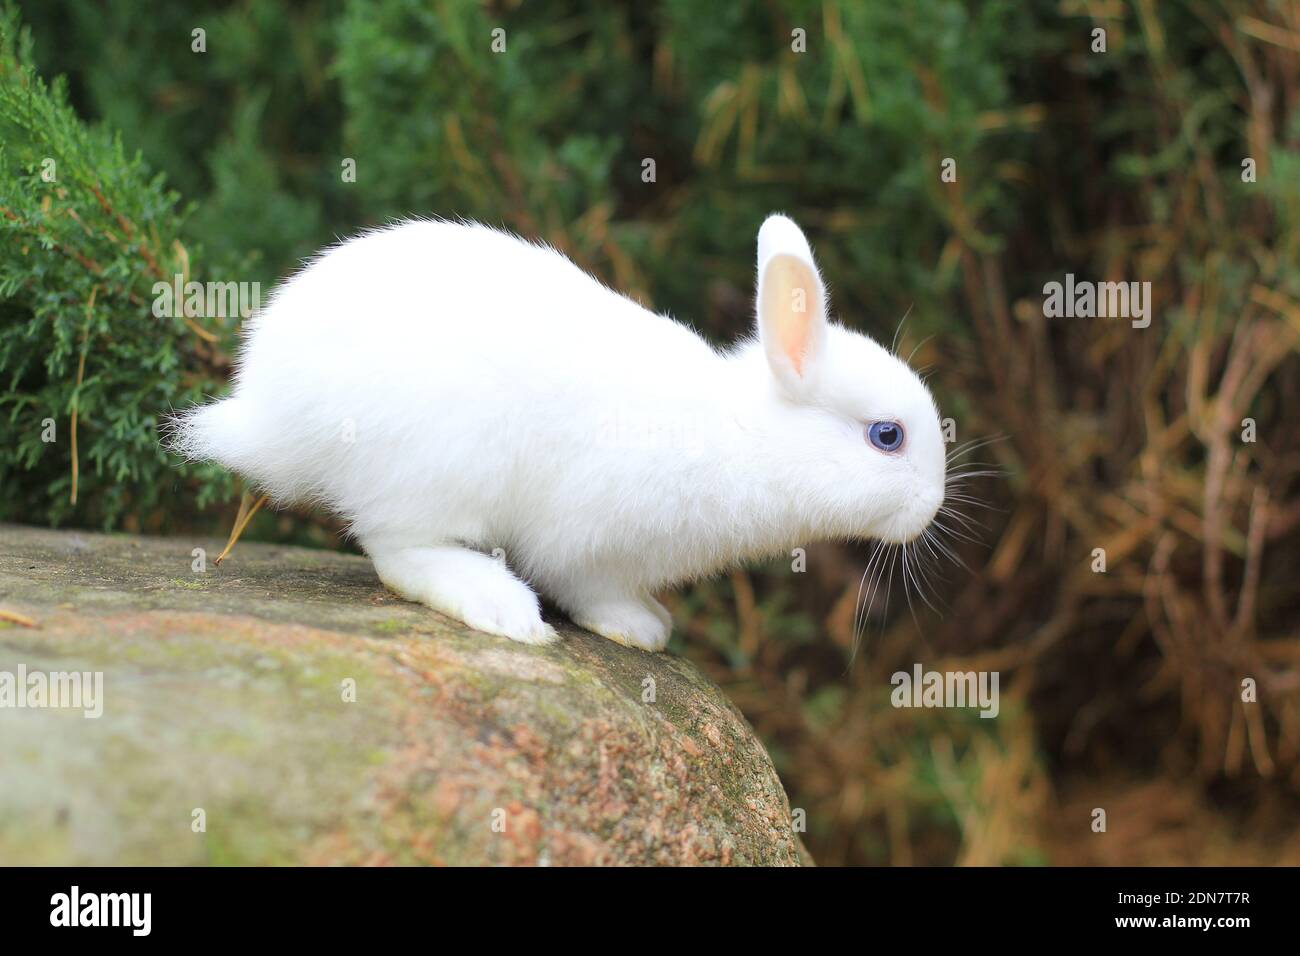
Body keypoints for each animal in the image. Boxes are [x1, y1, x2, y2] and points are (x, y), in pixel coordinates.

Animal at [169, 214, 946, 651]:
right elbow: (590, 587)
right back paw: (503, 609)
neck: (742, 434)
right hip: (438, 467)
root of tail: (268, 408)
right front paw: (642, 630)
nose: (934, 506)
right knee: (398, 551)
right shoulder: (586, 537)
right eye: (887, 436)